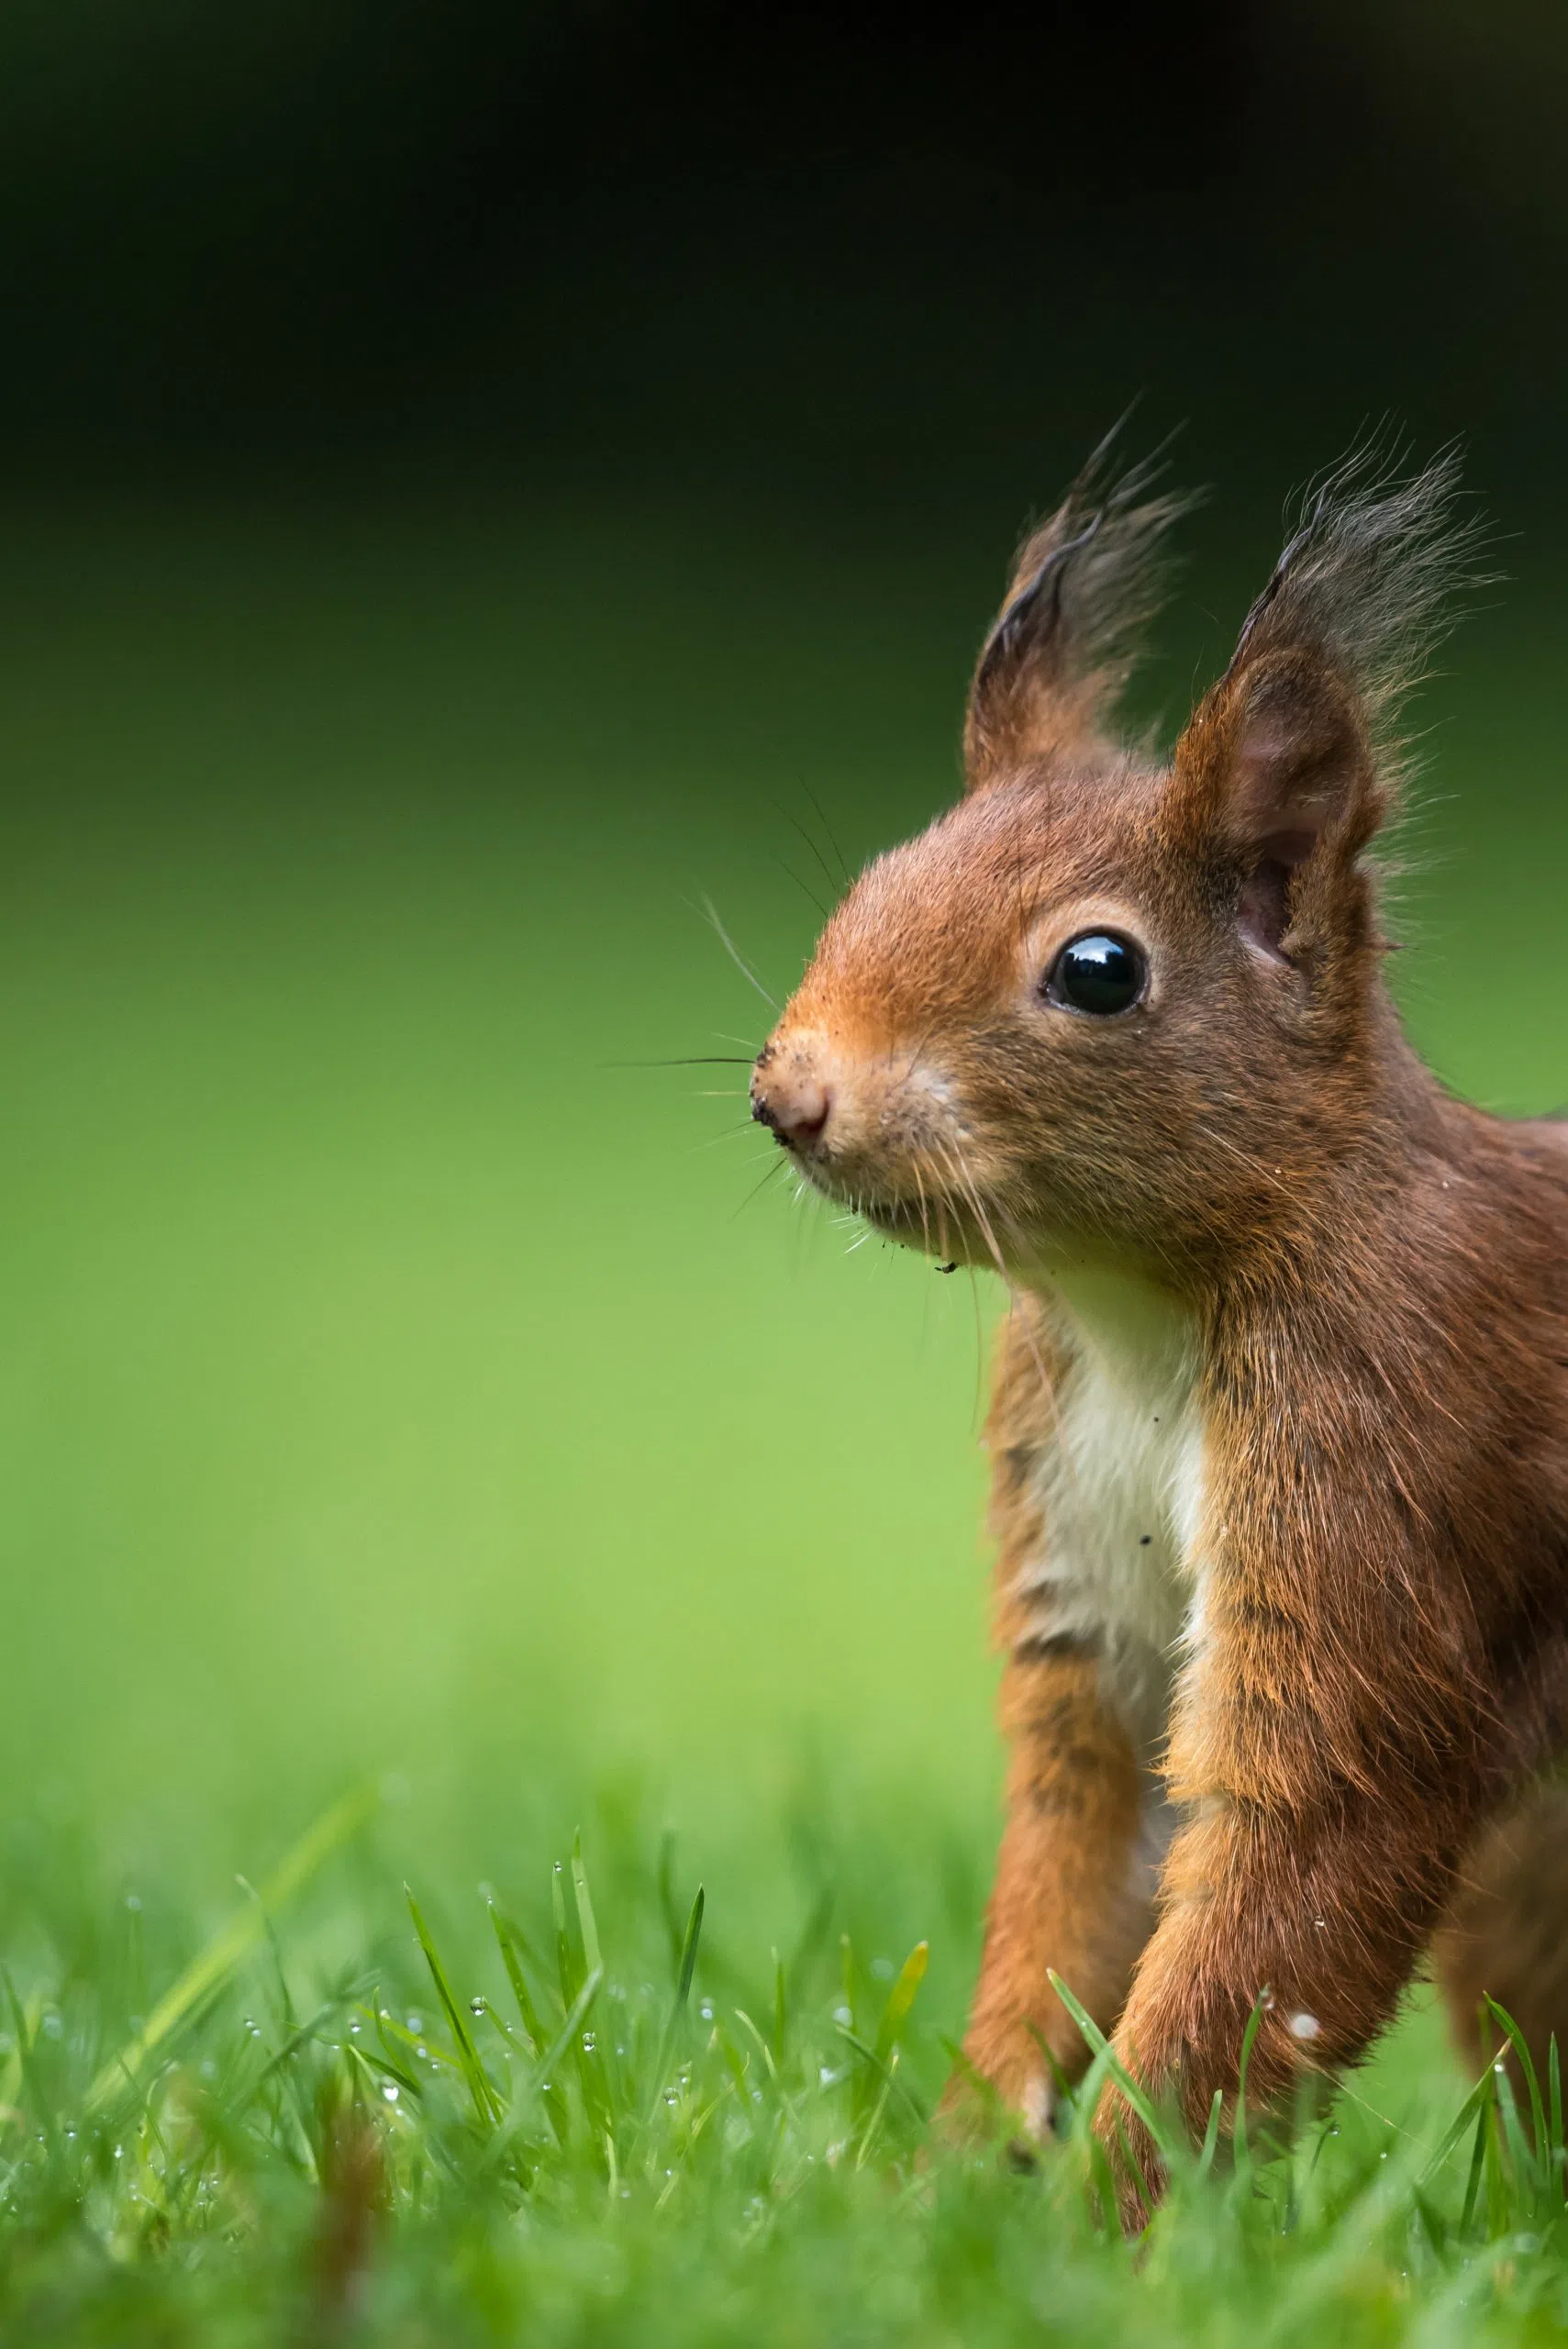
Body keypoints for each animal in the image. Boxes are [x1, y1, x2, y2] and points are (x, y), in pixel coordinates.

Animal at [747, 436, 1568, 2222]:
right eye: (872, 881)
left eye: (1098, 969)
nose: (792, 1097)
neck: (1138, 1318)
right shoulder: (1082, 1569)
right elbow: (1077, 1867)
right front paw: (947, 2184)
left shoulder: (1383, 1452)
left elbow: (1292, 1877)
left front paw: (1104, 2220)